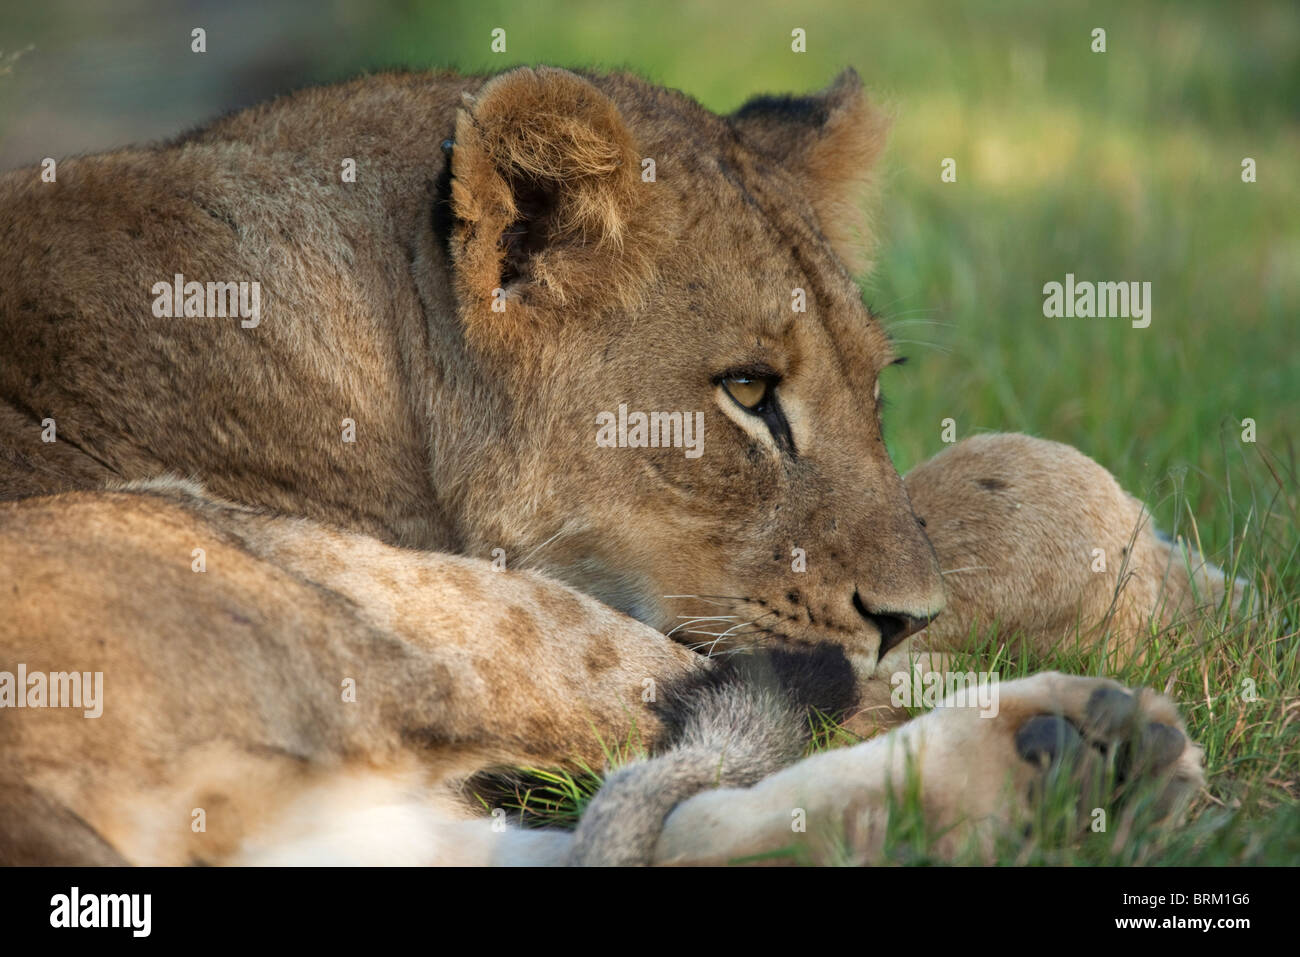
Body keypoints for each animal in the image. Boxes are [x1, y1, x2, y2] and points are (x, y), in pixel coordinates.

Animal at [0, 66, 1237, 864]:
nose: (904, 615)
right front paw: (1197, 602)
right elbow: (1011, 486)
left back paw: (1082, 770)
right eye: (747, 392)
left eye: (873, 388)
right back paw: (1084, 748)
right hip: (319, 590)